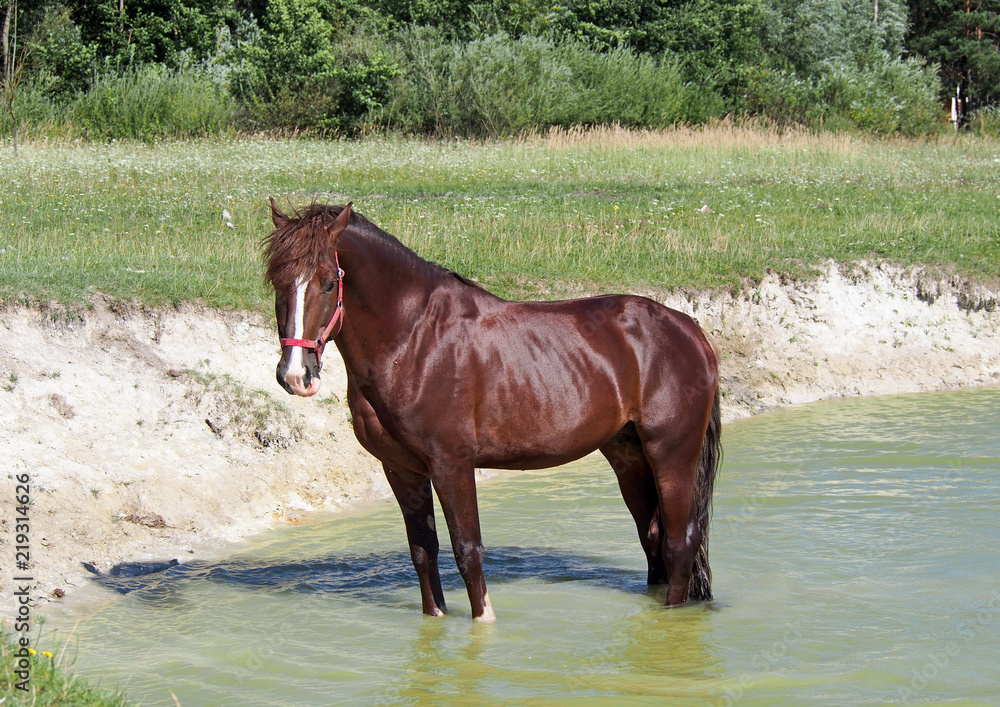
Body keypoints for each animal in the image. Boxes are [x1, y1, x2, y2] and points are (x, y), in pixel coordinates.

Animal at [264, 200, 721, 621]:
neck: (412, 339)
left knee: (679, 543)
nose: (295, 375)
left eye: (329, 283)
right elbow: (423, 553)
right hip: (629, 456)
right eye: (276, 282)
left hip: (671, 455)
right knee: (653, 539)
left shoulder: (452, 464)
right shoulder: (402, 469)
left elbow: (468, 552)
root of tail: (689, 328)